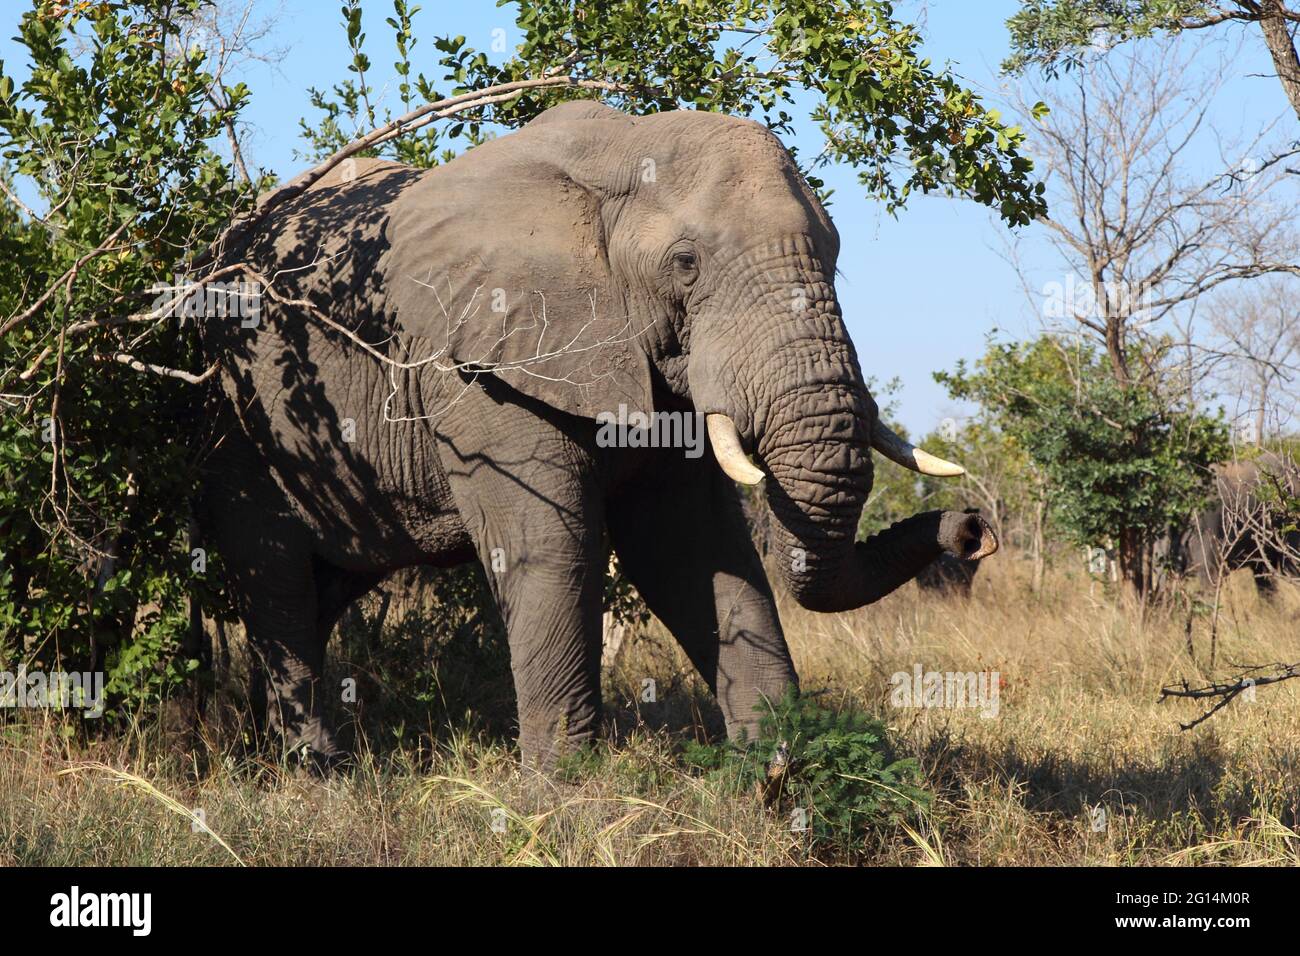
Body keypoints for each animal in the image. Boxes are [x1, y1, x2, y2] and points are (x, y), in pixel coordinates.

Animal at [196, 100, 997, 770]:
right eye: (686, 264)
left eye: (832, 254)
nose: (972, 529)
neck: (621, 151)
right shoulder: (478, 368)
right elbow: (550, 550)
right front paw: (563, 803)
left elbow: (690, 548)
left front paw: (778, 776)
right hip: (237, 421)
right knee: (275, 579)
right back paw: (316, 771)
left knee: (324, 587)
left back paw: (268, 751)